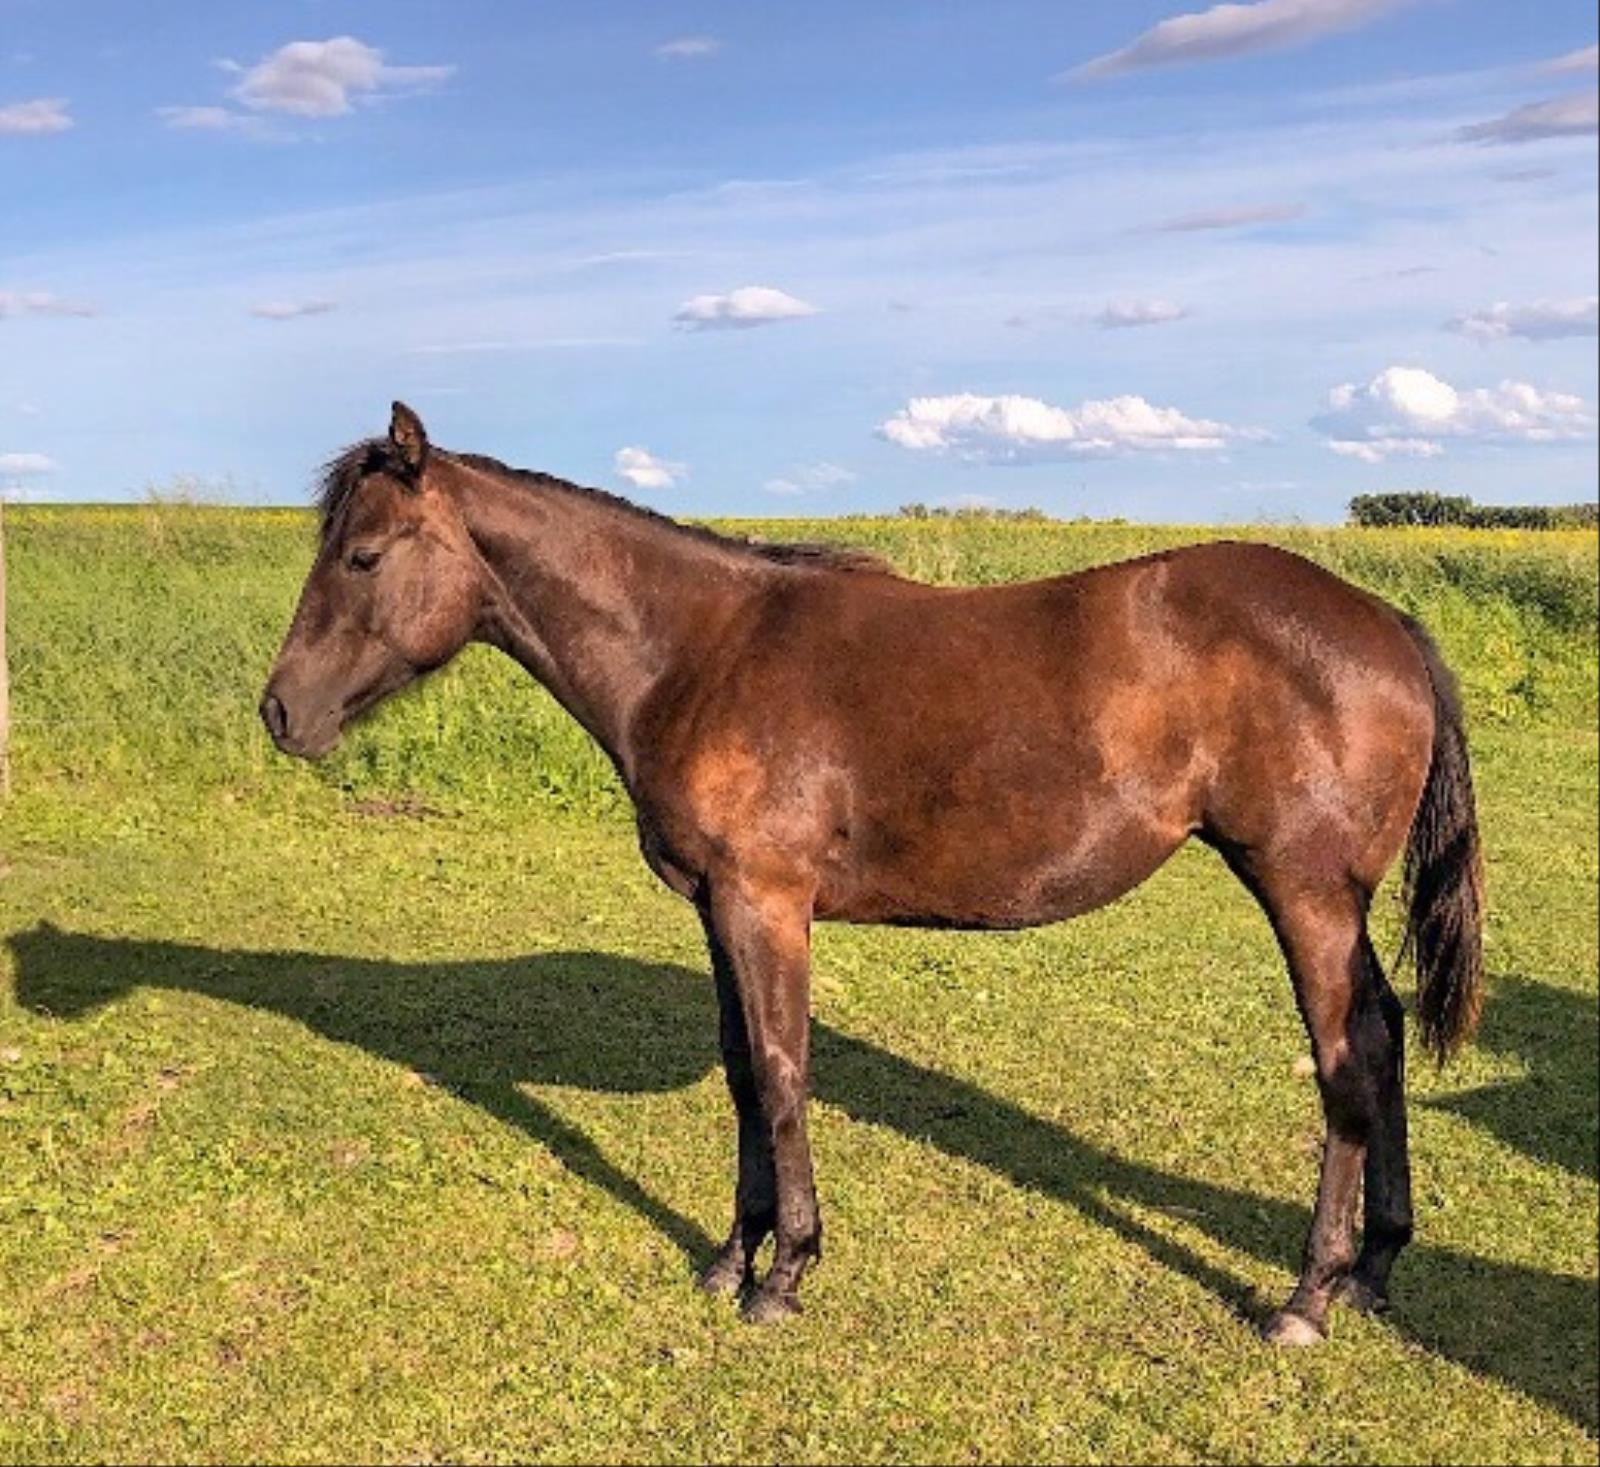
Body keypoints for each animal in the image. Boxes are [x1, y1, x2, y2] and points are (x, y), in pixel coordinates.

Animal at [261, 402, 1483, 1340]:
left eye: (364, 556)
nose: (281, 712)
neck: (700, 652)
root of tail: (1383, 621)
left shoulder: (767, 905)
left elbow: (781, 1072)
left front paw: (785, 1276)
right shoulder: (718, 909)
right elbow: (743, 1073)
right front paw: (731, 1257)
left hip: (1304, 892)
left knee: (1344, 1060)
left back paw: (1307, 1297)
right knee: (1379, 1038)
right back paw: (1373, 1271)